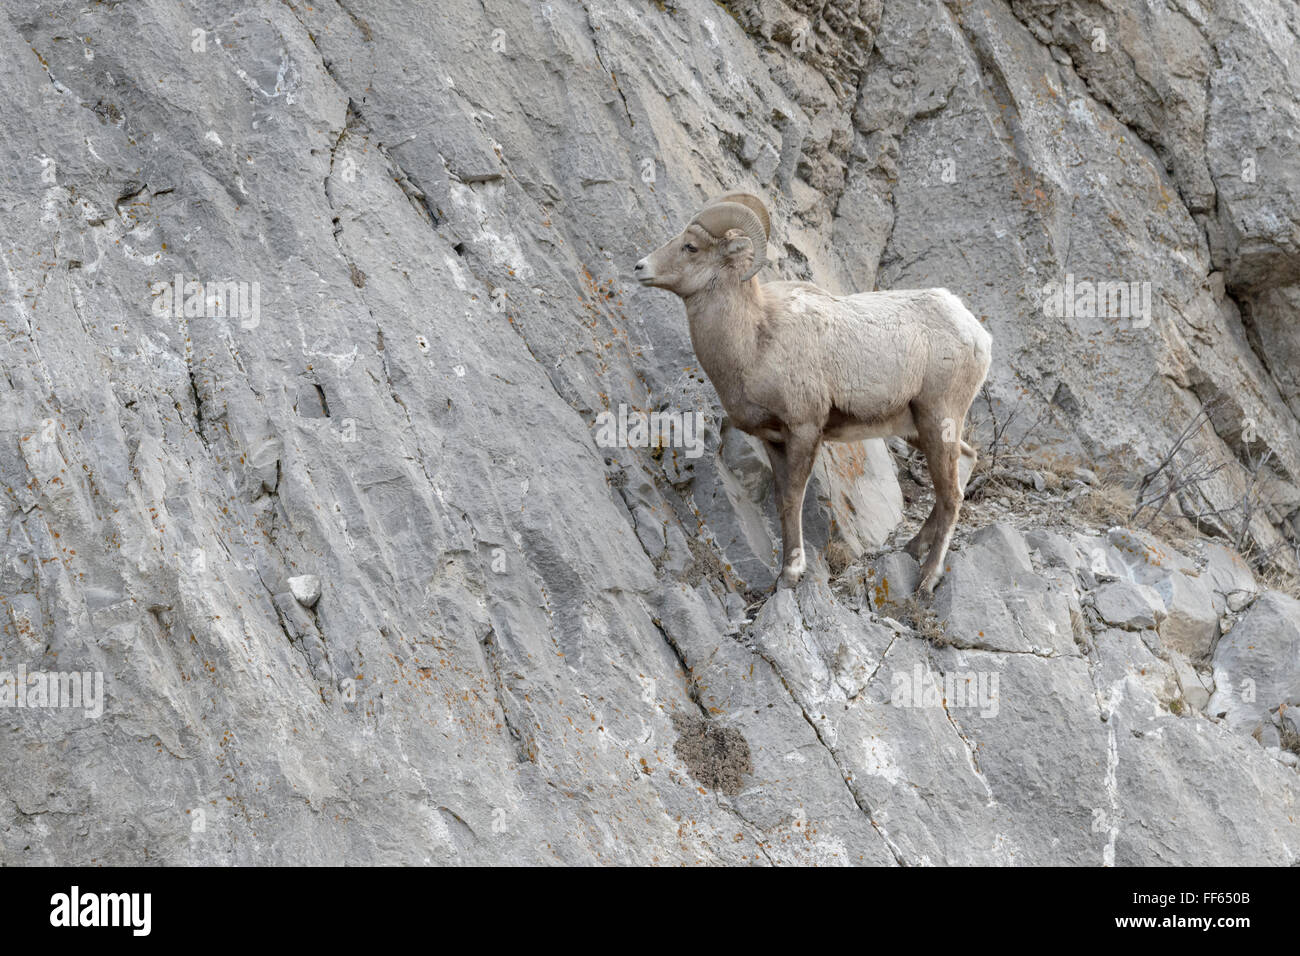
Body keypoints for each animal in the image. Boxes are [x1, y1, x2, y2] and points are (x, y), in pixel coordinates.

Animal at [634, 192, 992, 594]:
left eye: (691, 247)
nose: (640, 267)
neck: (755, 339)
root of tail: (976, 333)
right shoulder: (773, 439)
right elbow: (780, 501)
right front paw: (782, 574)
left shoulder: (804, 430)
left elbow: (794, 498)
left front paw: (792, 573)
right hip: (916, 428)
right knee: (964, 464)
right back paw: (912, 548)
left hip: (938, 420)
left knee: (952, 496)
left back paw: (928, 579)